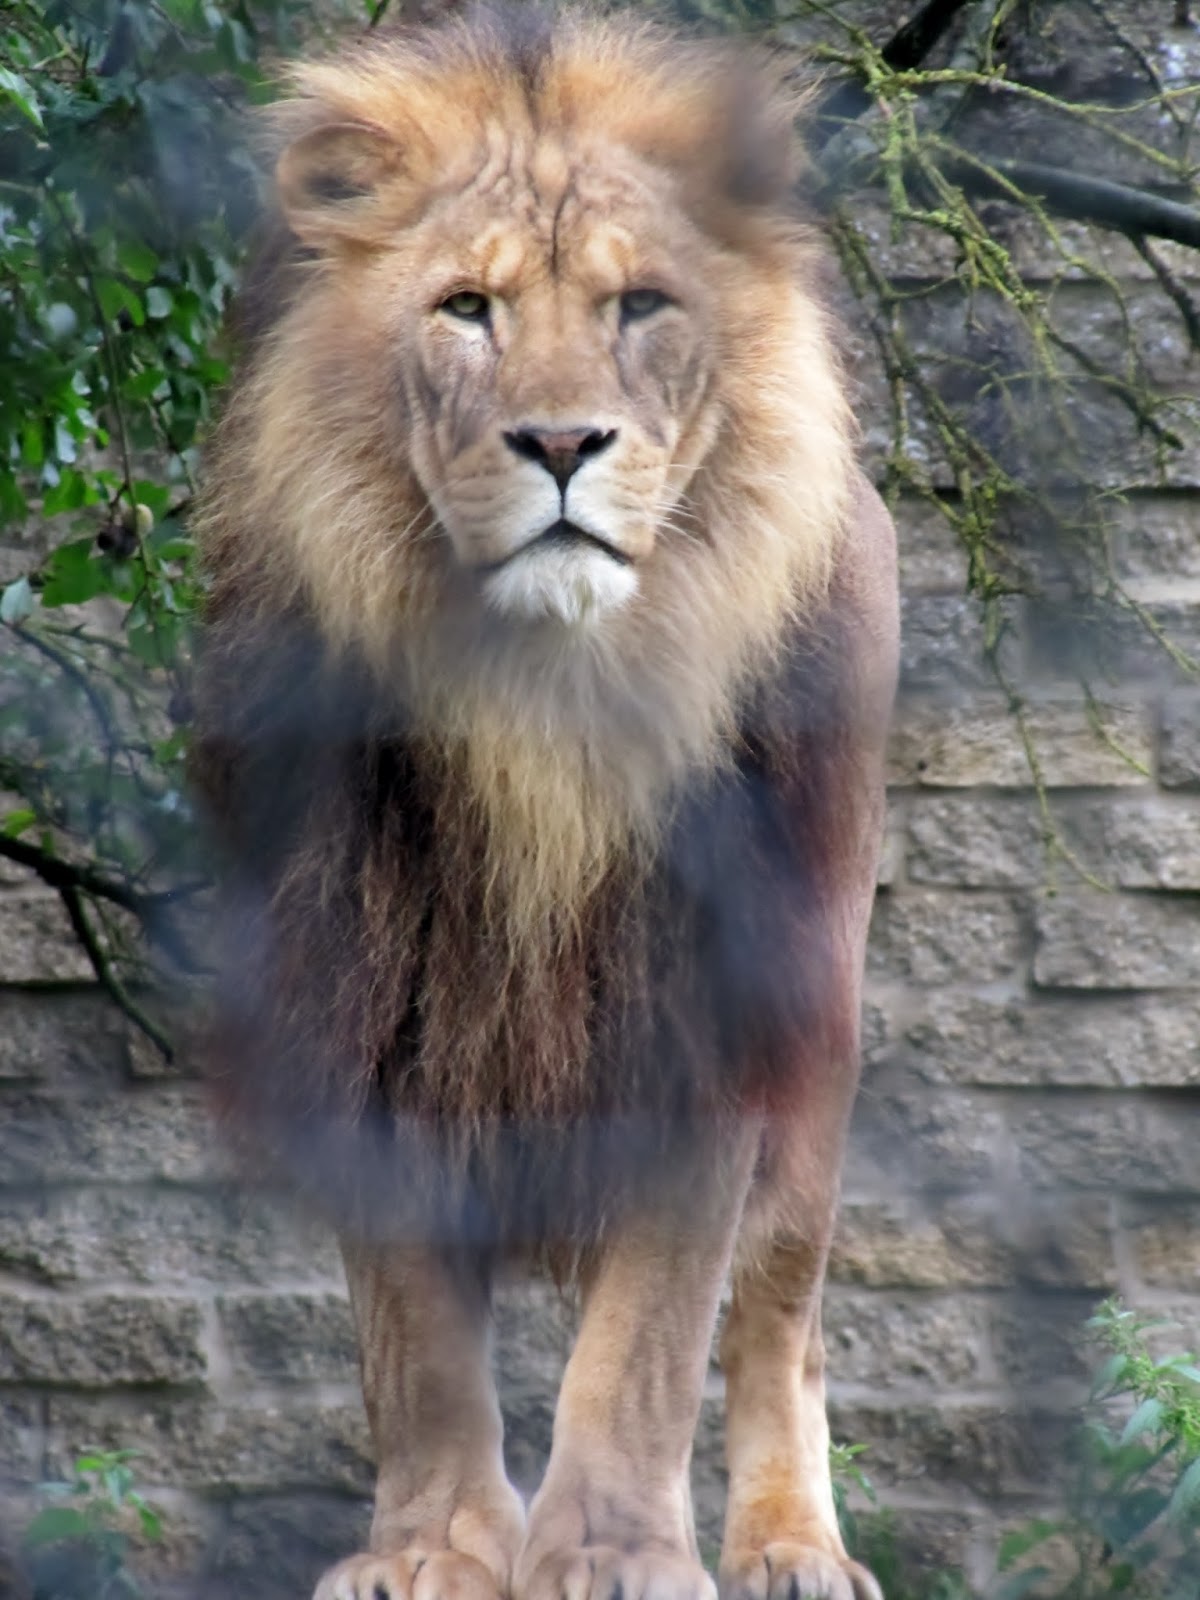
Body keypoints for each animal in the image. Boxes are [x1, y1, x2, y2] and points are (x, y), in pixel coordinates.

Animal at [192, 9, 898, 1600]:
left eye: (641, 306)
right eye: (467, 309)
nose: (565, 445)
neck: (545, 712)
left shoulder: (709, 1008)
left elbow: (649, 1335)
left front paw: (618, 1553)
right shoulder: (369, 998)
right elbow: (413, 1338)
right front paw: (437, 1549)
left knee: (786, 1311)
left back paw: (792, 1545)